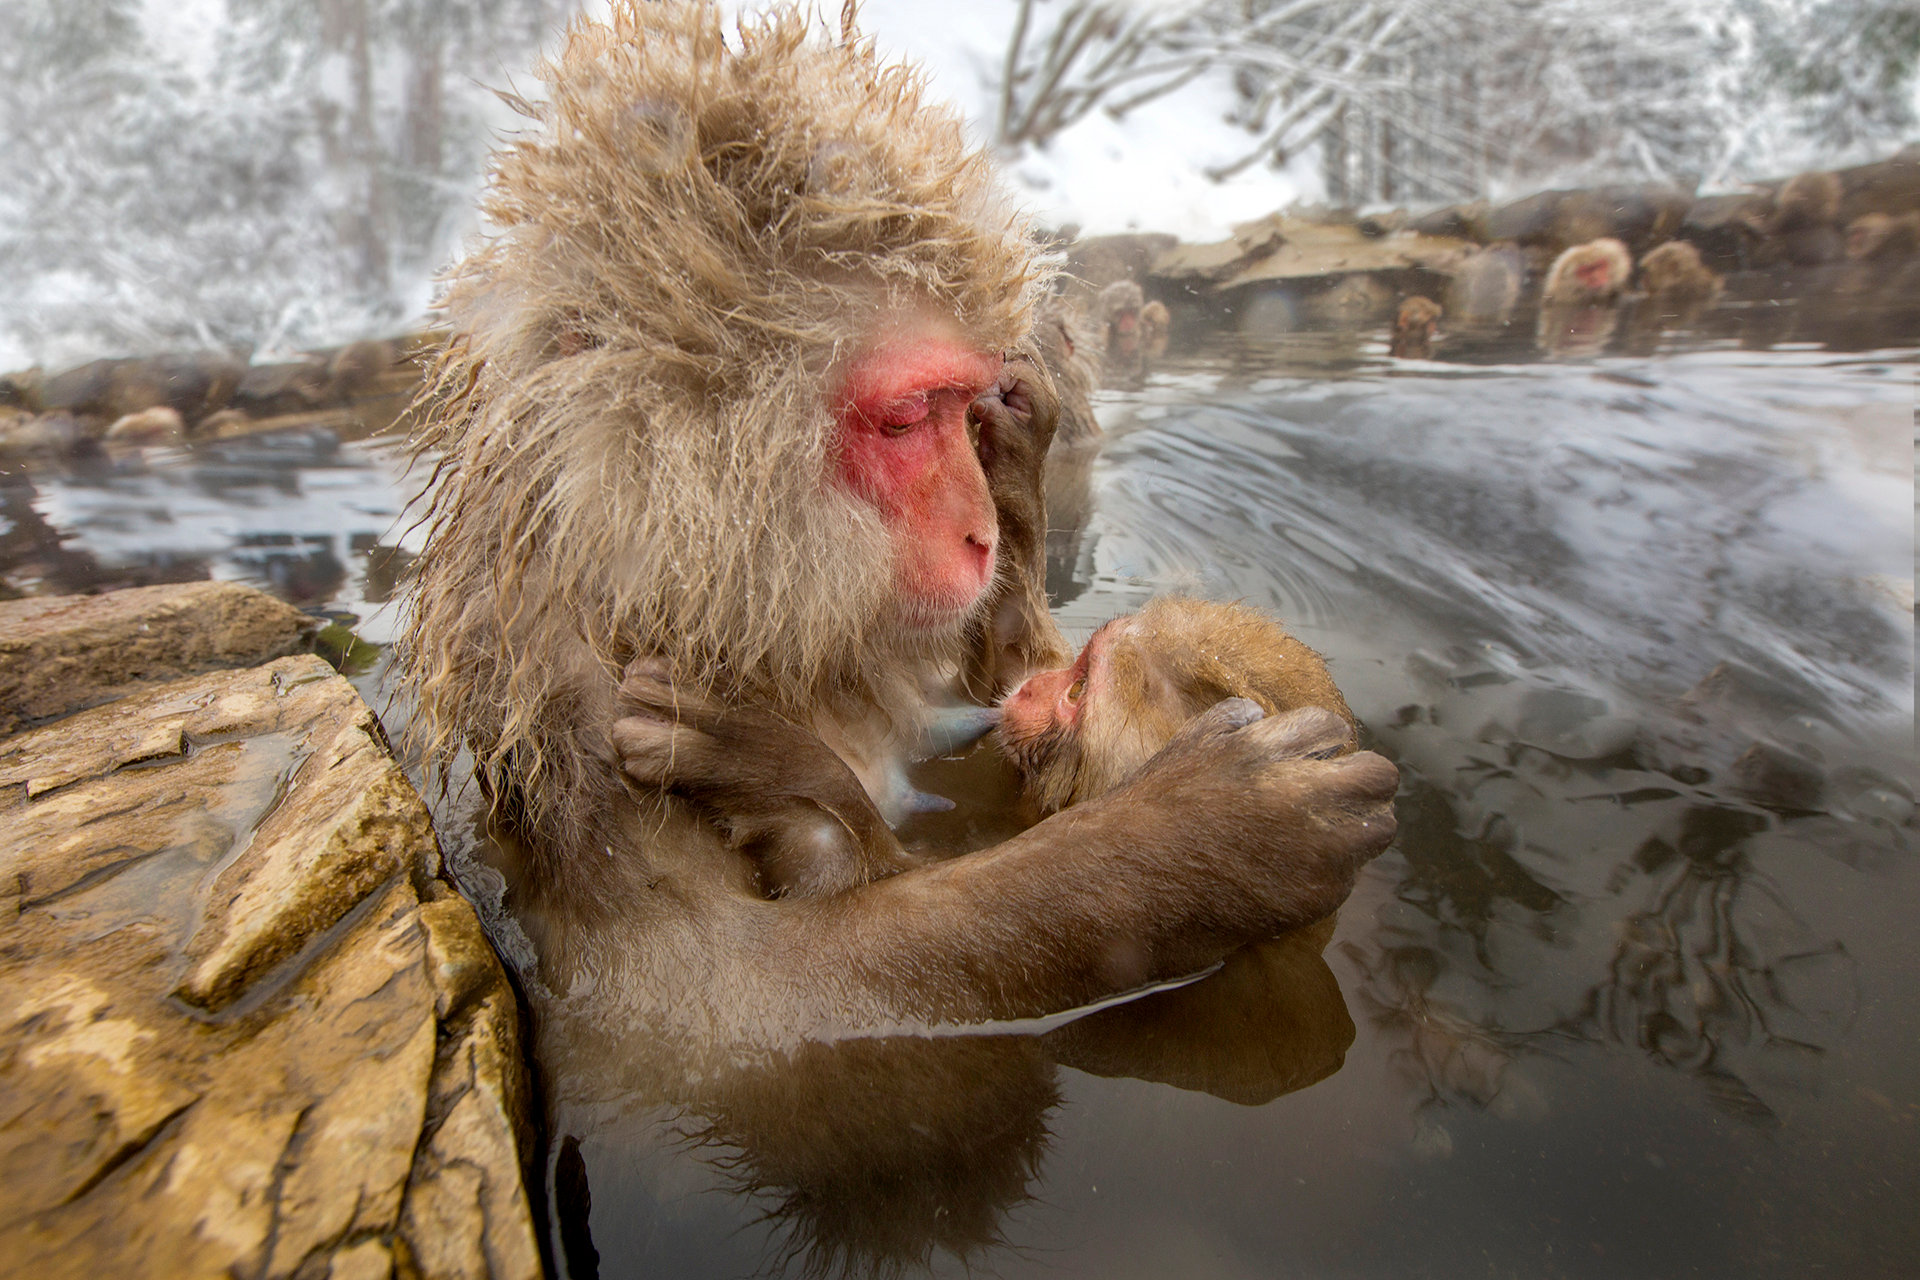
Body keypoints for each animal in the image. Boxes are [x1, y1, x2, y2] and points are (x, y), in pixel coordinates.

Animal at [399, 1, 1398, 1042]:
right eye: (909, 418)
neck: (699, 594)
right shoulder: (562, 677)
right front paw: (1202, 835)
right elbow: (722, 1000)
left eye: (957, 407)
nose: (980, 535)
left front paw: (1020, 452)